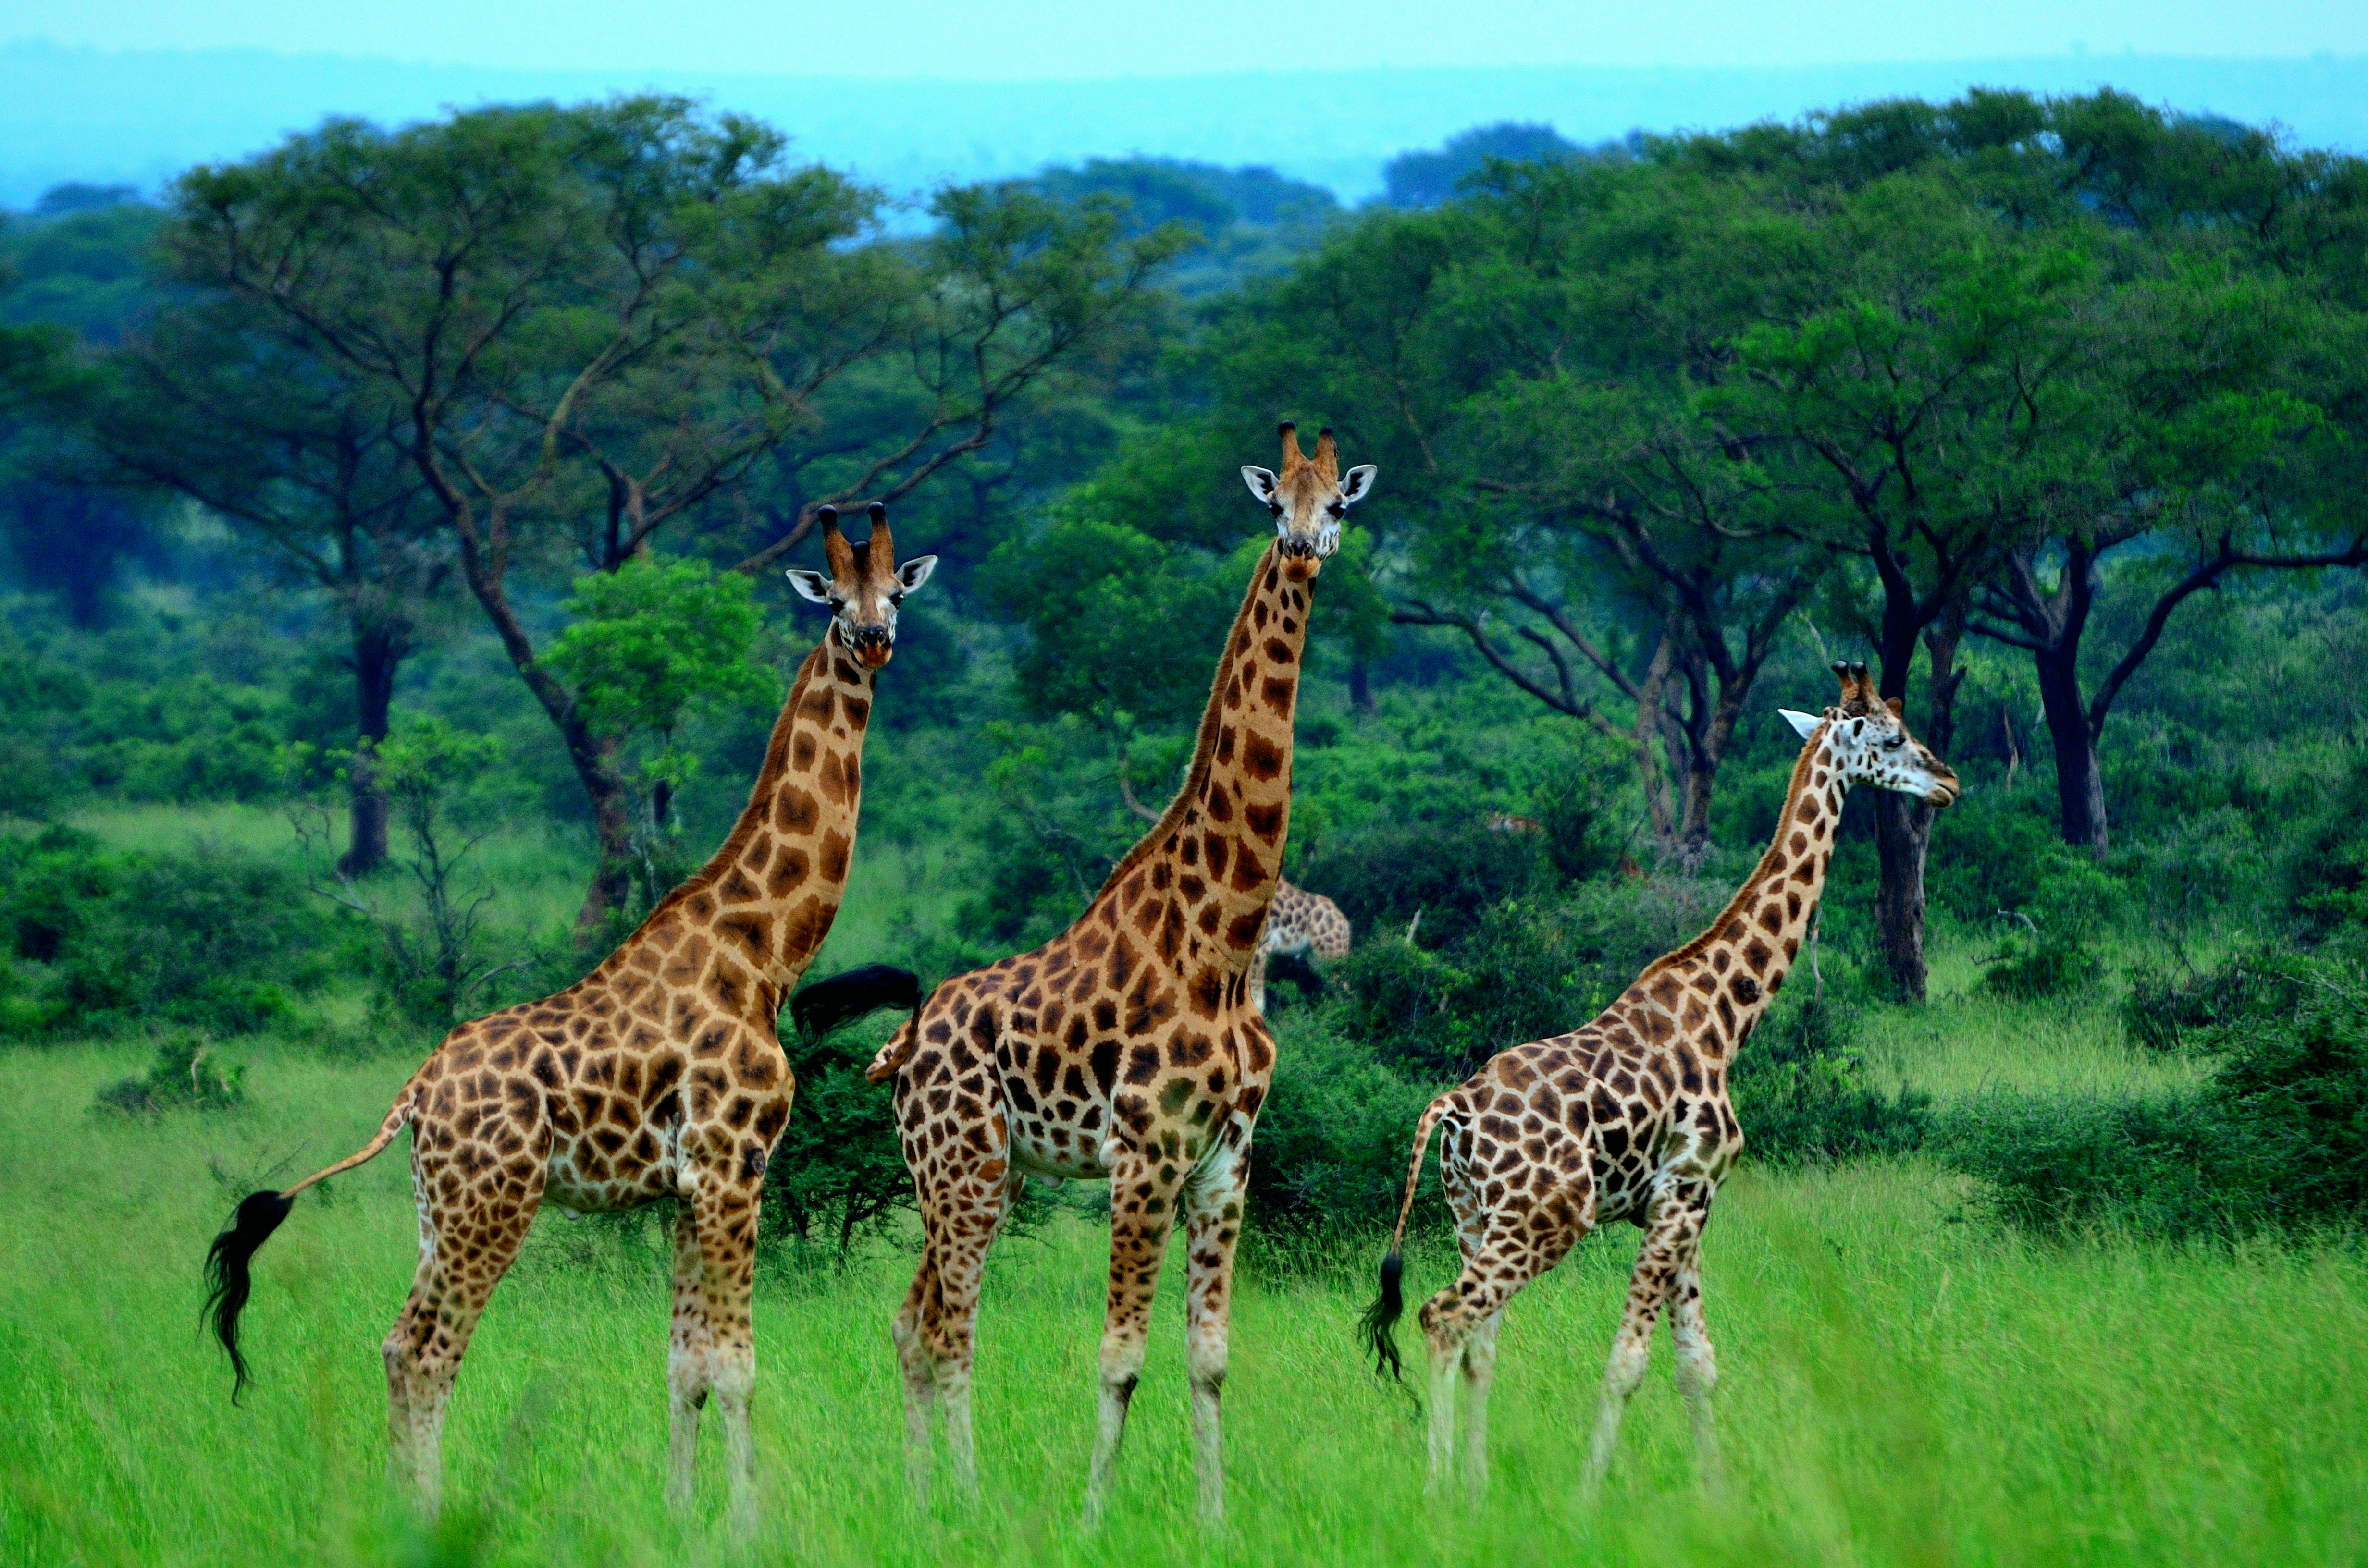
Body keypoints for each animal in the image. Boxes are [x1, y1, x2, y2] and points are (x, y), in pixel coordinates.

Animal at [203, 504, 936, 1522]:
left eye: (896, 591)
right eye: (832, 600)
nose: (873, 640)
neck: (761, 951)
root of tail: (413, 1094)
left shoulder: (686, 1186)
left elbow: (685, 1363)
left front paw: (679, 1511)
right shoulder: (734, 1164)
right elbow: (736, 1361)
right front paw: (748, 1517)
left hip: (438, 1206)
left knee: (396, 1342)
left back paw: (399, 1506)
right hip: (493, 1202)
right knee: (430, 1350)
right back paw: (429, 1512)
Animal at [1360, 662, 1959, 1498]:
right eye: (1896, 737)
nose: (1948, 782)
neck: (1725, 1017)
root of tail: (1453, 1110)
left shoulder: (1684, 1201)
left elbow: (1697, 1365)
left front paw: (1717, 1495)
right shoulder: (1686, 1192)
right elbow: (1628, 1364)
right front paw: (1589, 1496)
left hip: (1471, 1216)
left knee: (1481, 1339)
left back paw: (1475, 1489)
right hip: (1543, 1221)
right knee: (1443, 1318)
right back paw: (1439, 1492)